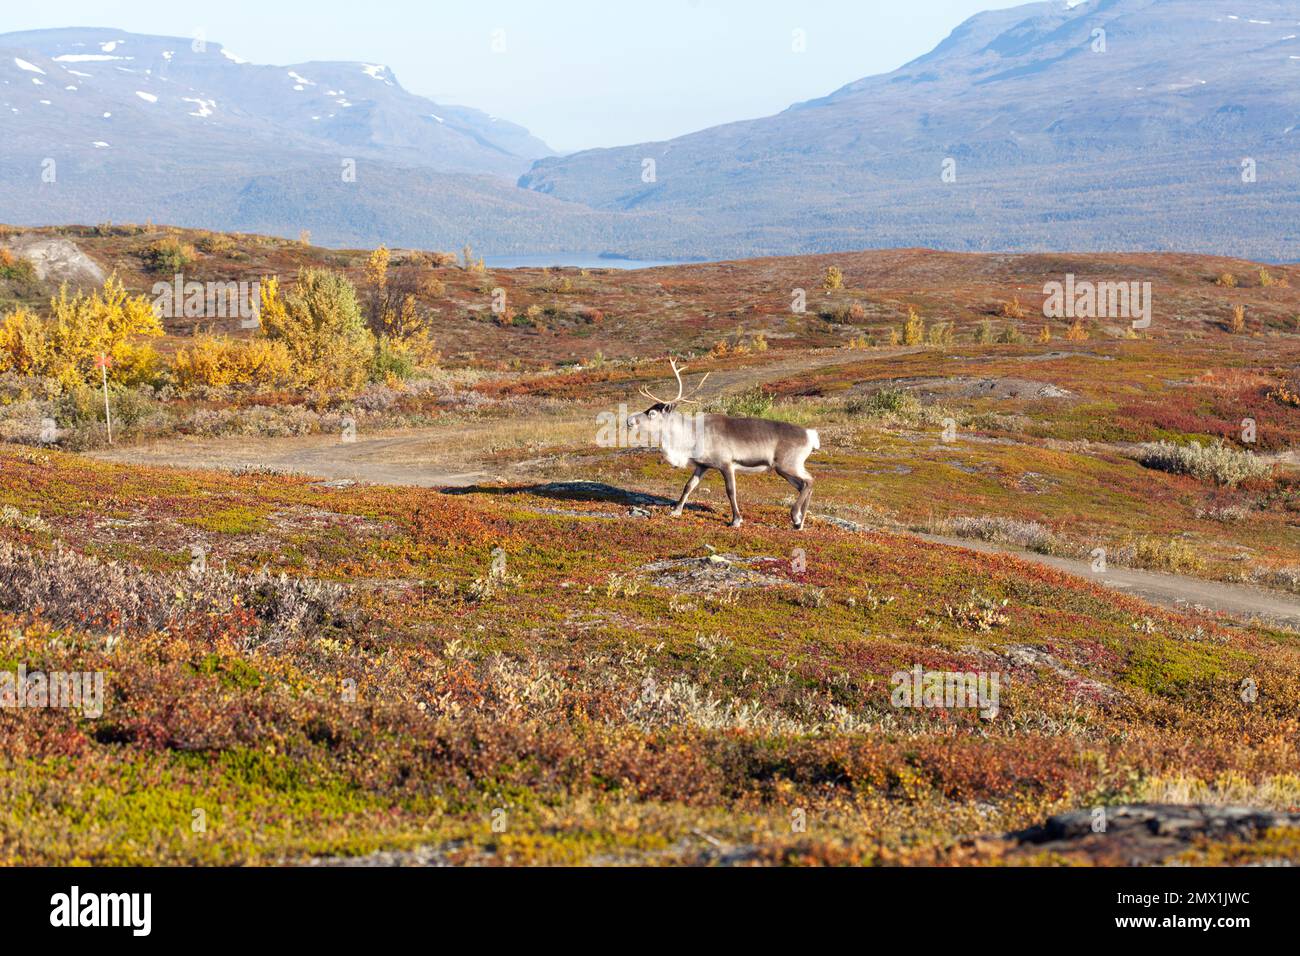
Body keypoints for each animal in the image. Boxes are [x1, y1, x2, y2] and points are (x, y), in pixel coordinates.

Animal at [627, 359, 820, 530]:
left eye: (652, 413)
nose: (629, 420)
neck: (690, 437)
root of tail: (810, 435)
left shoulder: (726, 463)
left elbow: (730, 491)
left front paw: (736, 520)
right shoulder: (702, 465)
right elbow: (689, 486)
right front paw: (676, 511)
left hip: (787, 464)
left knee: (809, 481)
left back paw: (795, 516)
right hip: (786, 468)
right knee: (804, 484)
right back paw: (799, 523)